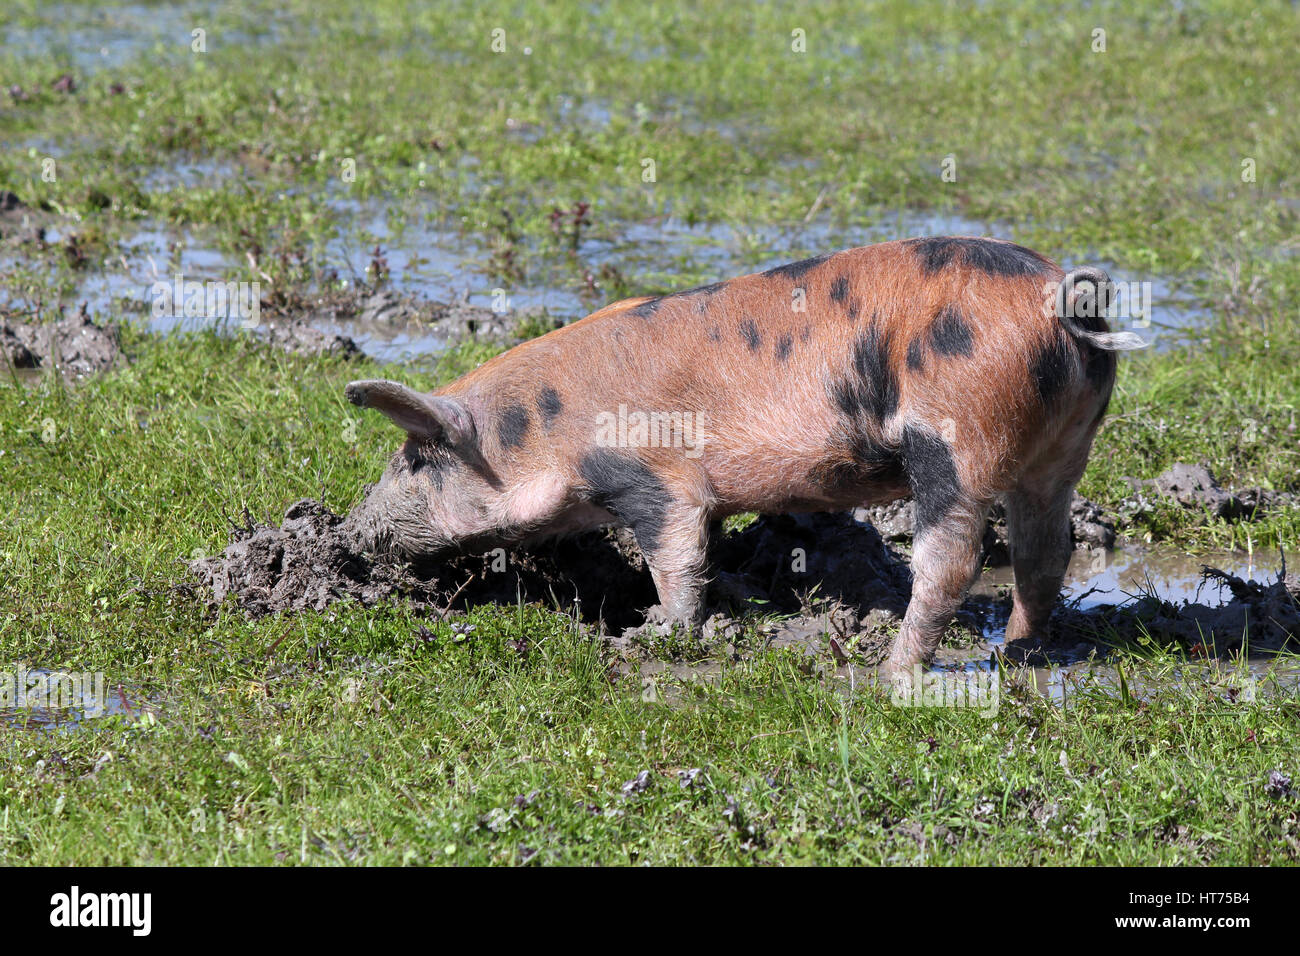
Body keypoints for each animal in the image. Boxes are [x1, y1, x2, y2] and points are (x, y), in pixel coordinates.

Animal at [341, 236, 1144, 684]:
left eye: (412, 462)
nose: (350, 529)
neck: (545, 425)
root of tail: (1060, 299)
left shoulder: (653, 479)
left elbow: (677, 559)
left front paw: (652, 634)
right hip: (1067, 443)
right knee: (1046, 548)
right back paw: (1020, 654)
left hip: (953, 433)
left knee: (954, 556)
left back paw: (888, 669)